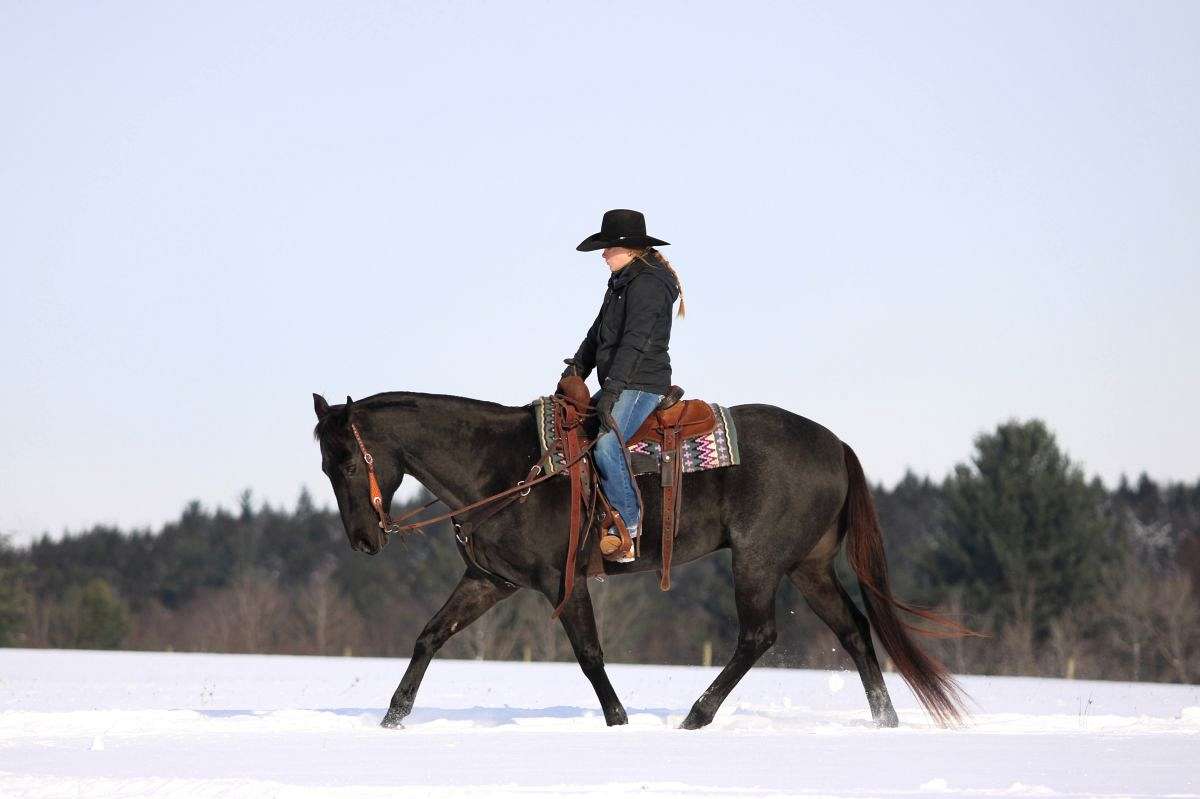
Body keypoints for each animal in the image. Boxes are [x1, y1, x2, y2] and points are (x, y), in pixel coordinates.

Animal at [311, 390, 968, 729]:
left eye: (345, 460)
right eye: (325, 463)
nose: (363, 541)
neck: (508, 467)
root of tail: (836, 446)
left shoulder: (561, 581)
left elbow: (589, 654)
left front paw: (619, 721)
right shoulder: (490, 580)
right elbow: (429, 636)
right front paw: (392, 719)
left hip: (758, 562)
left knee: (758, 635)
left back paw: (697, 715)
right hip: (808, 567)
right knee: (854, 631)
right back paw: (885, 721)